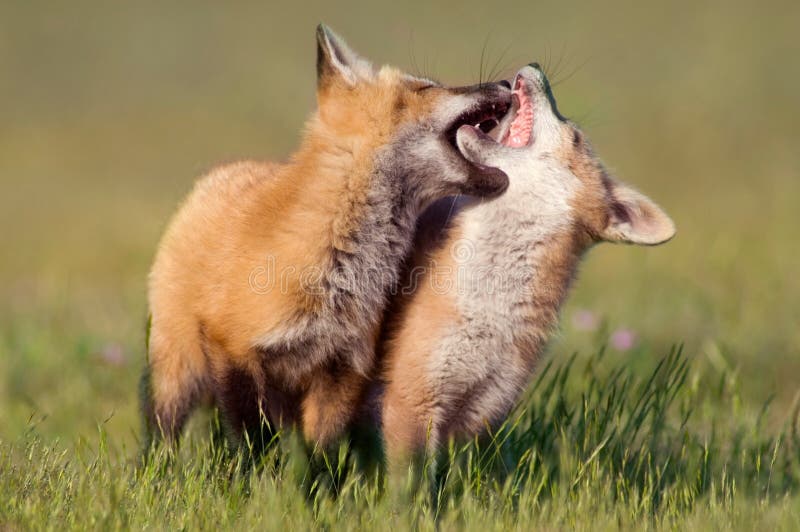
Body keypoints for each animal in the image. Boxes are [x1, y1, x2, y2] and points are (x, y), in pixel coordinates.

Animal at [140, 25, 514, 452]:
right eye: (425, 88)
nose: (507, 82)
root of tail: (217, 175)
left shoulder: (343, 369)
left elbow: (321, 453)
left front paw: (310, 473)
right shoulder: (232, 349)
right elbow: (254, 440)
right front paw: (254, 473)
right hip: (176, 368)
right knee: (163, 426)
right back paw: (157, 461)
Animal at [378, 64, 676, 467]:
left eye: (576, 137)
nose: (534, 66)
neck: (488, 314)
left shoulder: (480, 411)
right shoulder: (410, 401)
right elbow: (409, 482)